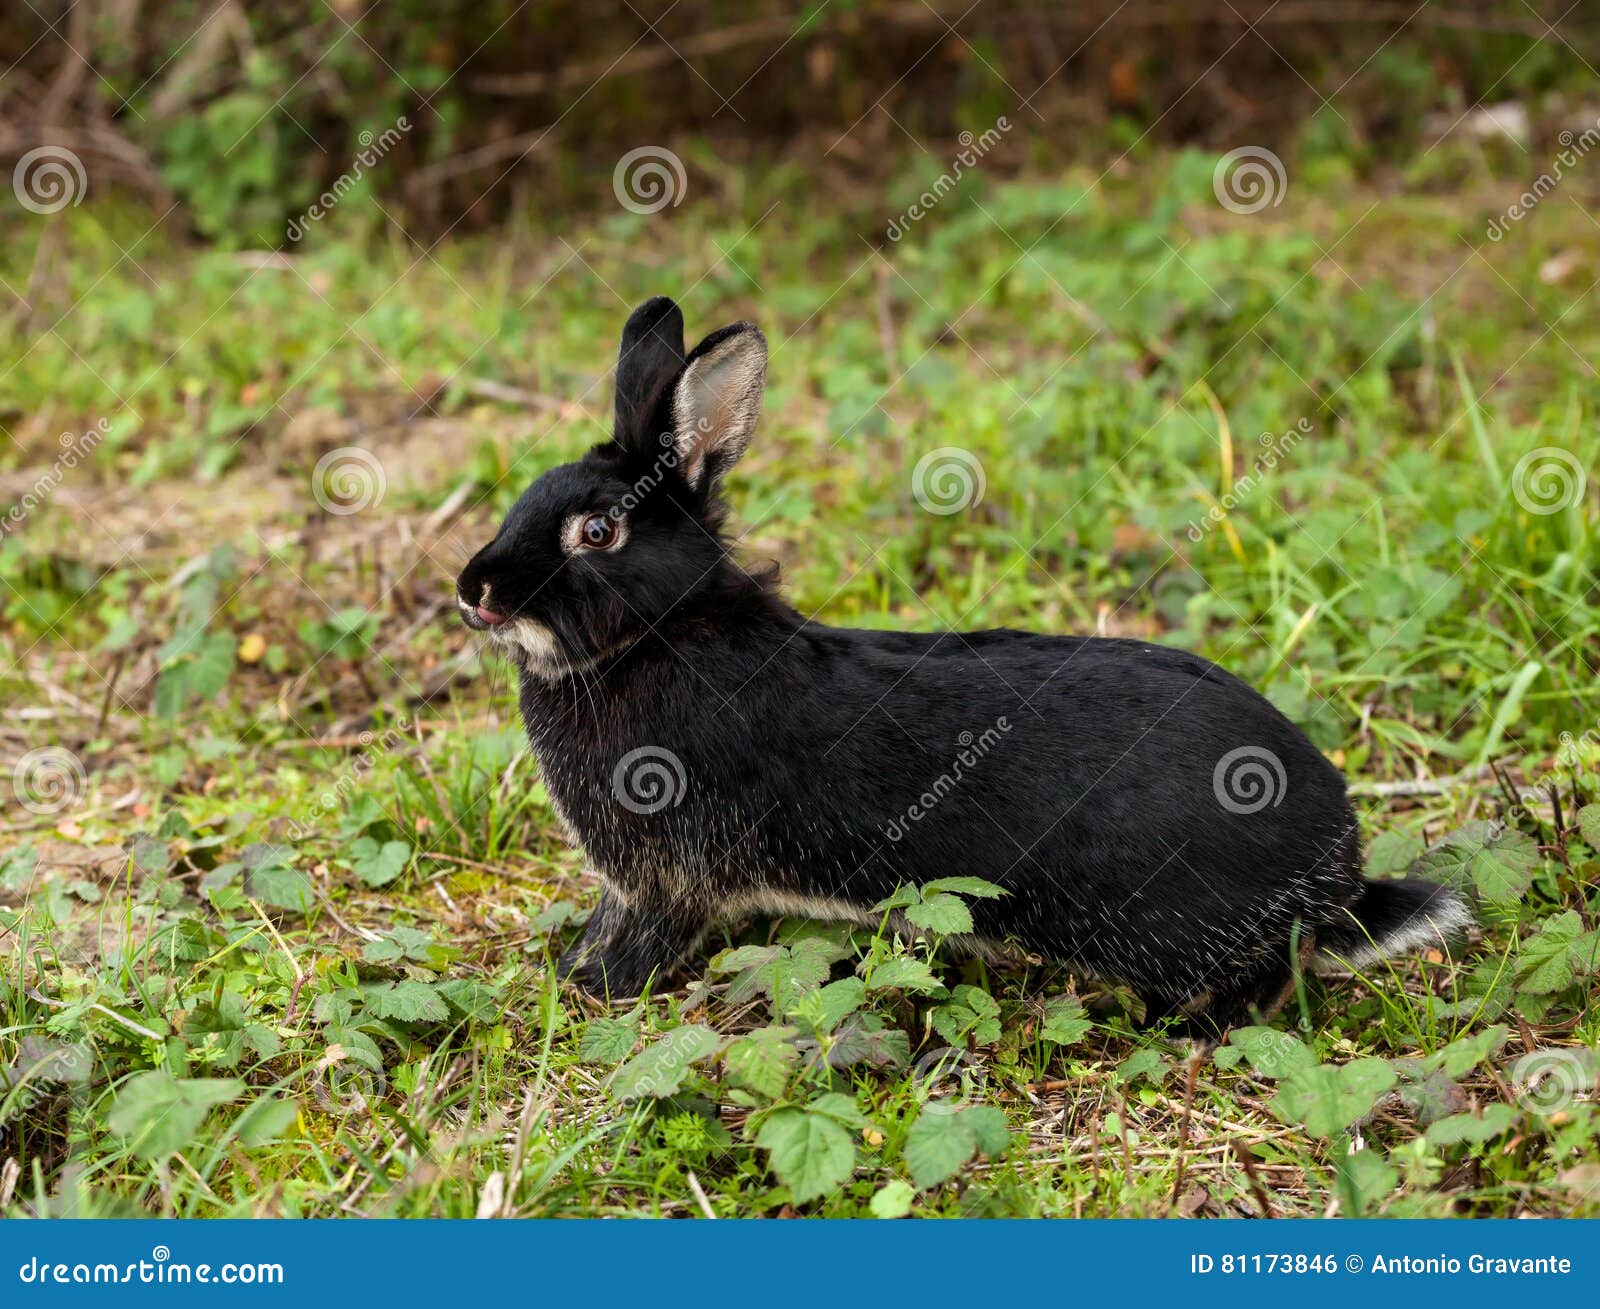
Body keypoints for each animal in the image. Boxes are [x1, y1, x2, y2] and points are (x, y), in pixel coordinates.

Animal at [455, 296, 1472, 1036]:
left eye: (597, 532)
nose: (475, 589)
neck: (657, 634)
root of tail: (1337, 871)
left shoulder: (666, 873)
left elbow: (643, 937)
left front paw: (585, 986)